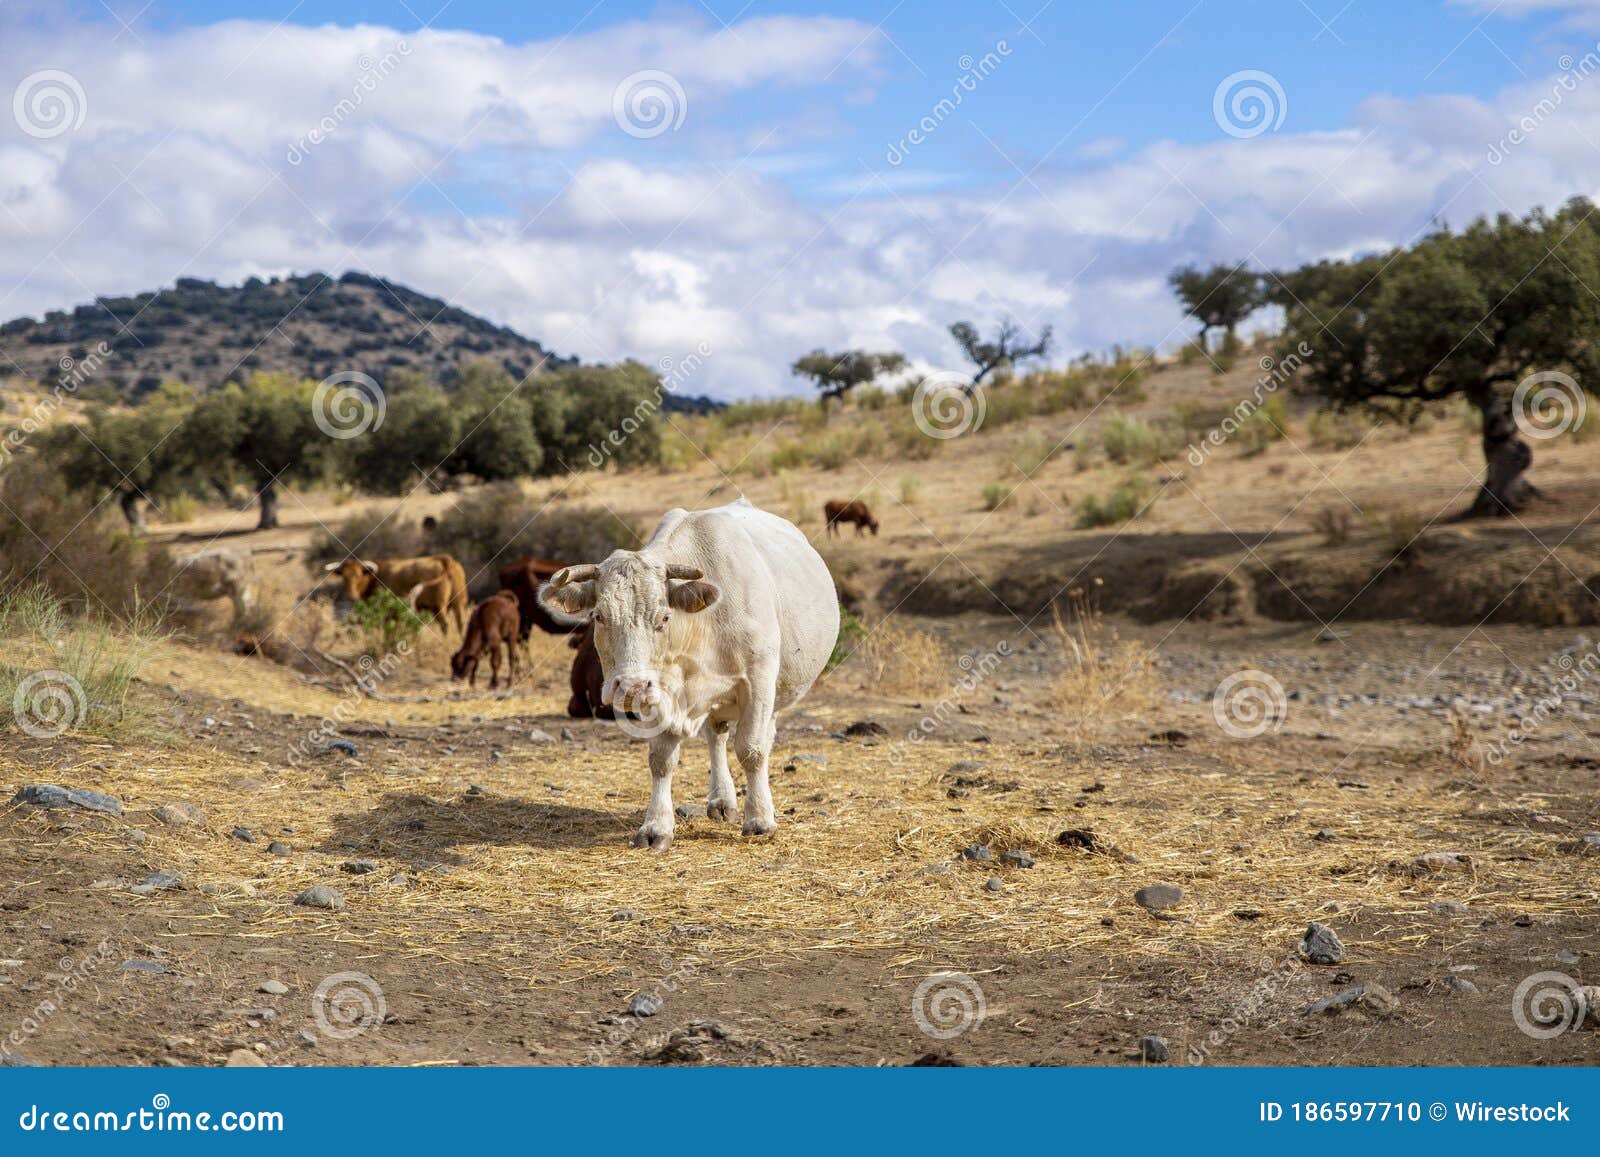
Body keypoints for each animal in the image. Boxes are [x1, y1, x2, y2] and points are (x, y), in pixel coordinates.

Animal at [323, 554, 468, 634]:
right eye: (344, 576)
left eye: (359, 575)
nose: (350, 596)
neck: (374, 577)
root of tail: (445, 559)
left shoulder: (387, 613)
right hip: (459, 603)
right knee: (461, 623)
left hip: (438, 606)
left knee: (445, 624)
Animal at [540, 499, 838, 852]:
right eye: (599, 617)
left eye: (664, 617)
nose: (631, 687)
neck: (701, 629)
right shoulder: (661, 691)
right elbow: (661, 759)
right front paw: (656, 826)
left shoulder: (759, 679)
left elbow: (751, 750)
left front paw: (759, 820)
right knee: (717, 736)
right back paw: (722, 800)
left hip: (776, 692)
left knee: (762, 738)